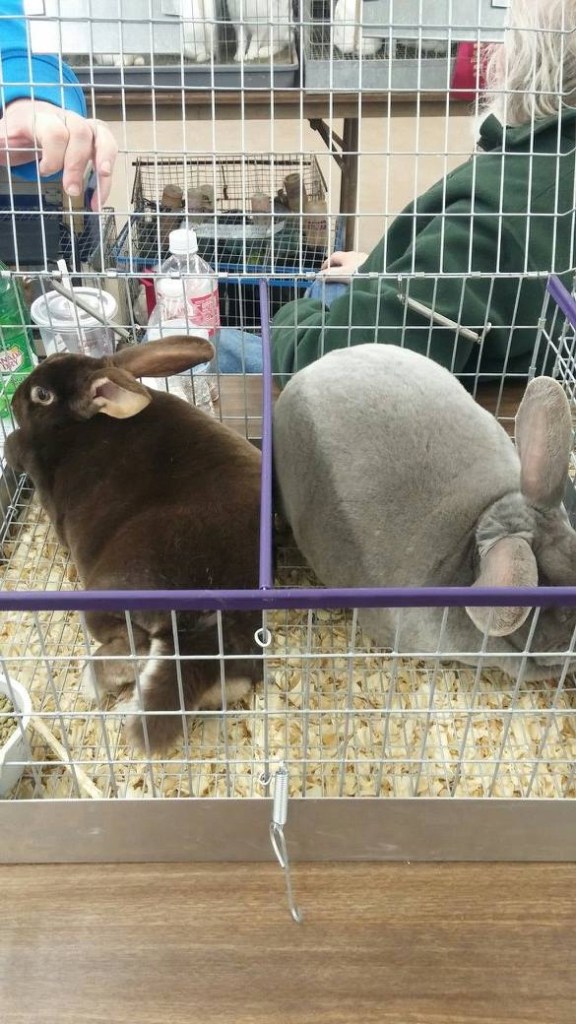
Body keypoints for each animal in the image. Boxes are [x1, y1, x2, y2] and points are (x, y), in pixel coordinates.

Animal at [5, 337, 262, 752]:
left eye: (42, 395)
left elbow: (16, 446)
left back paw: (93, 688)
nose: (12, 400)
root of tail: (210, 621)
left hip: (107, 599)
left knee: (131, 649)